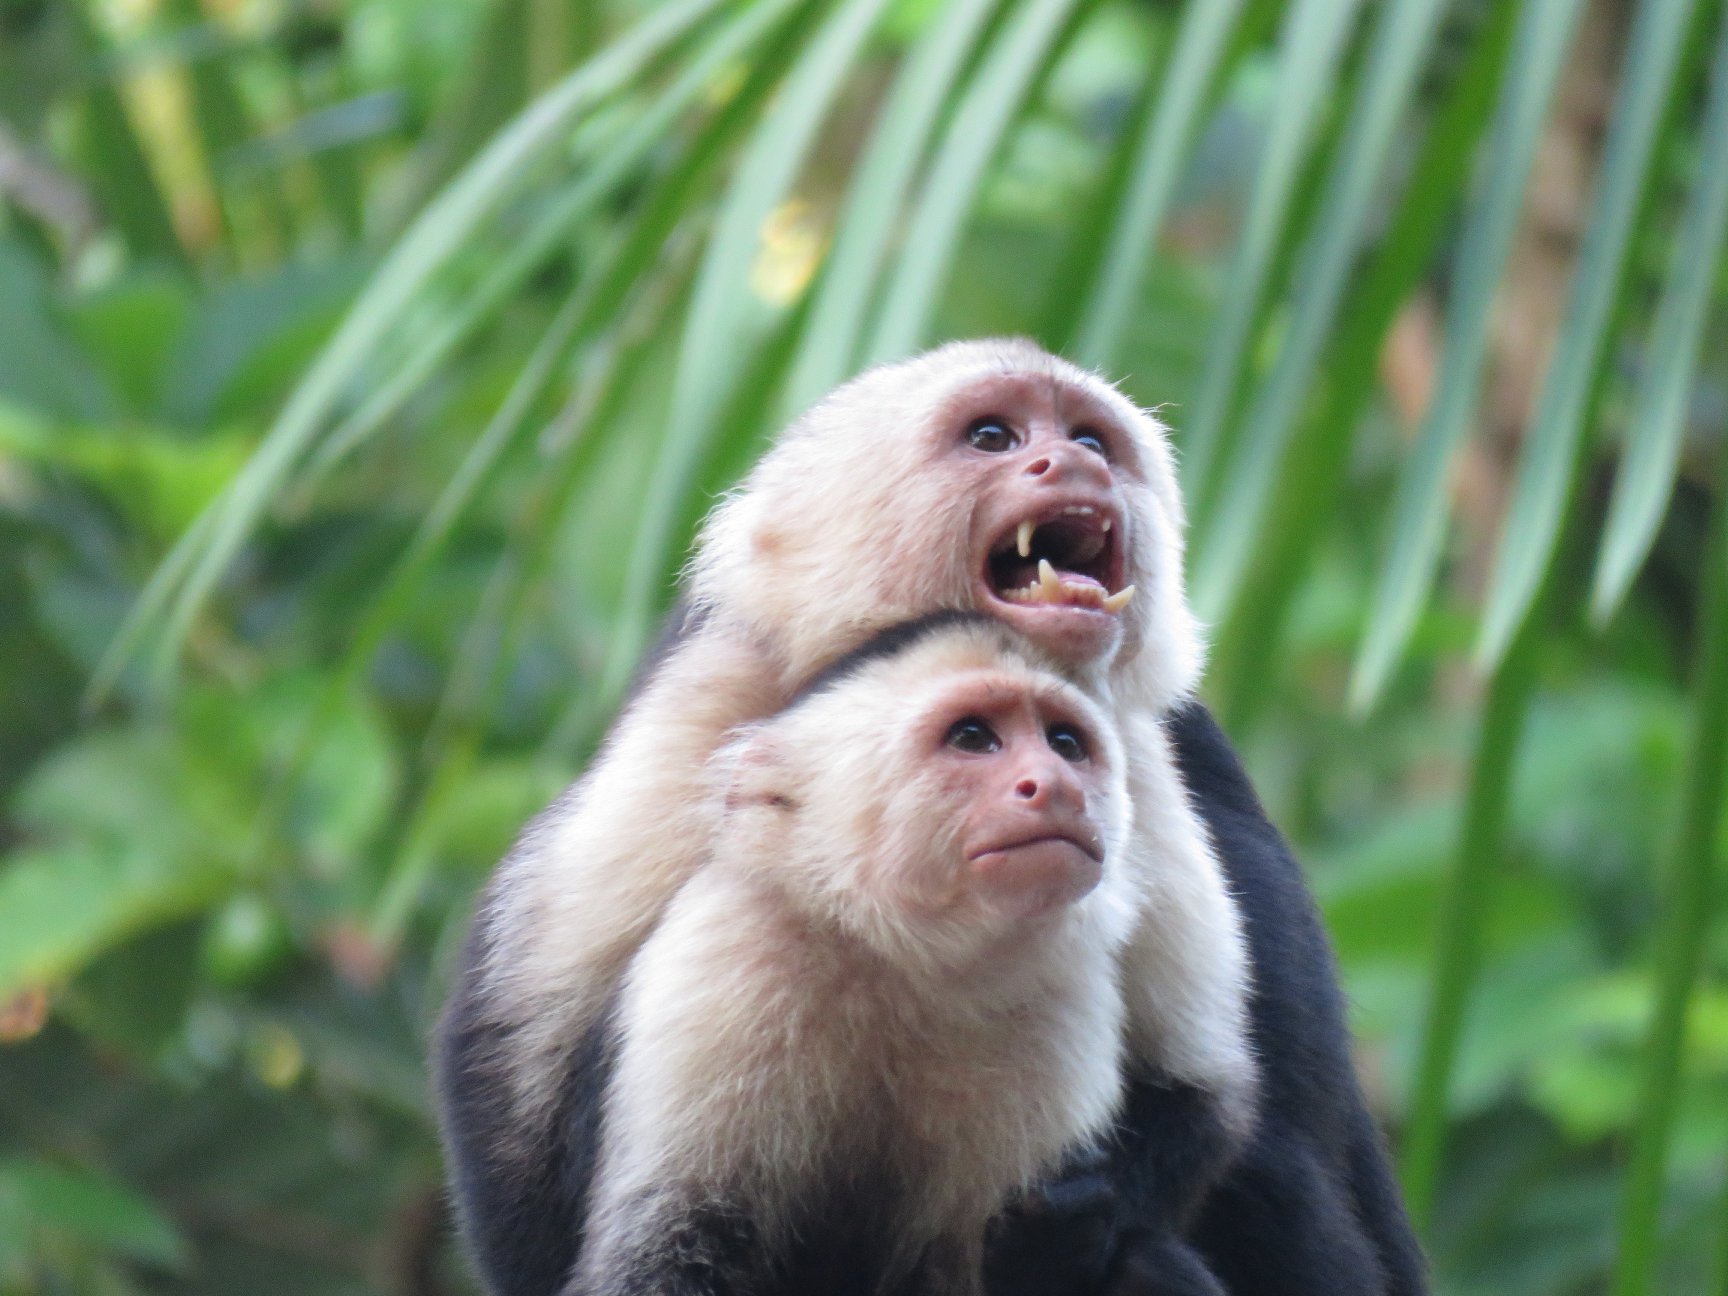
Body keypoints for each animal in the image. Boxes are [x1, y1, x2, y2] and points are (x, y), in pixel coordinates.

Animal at [573, 615, 1149, 1296]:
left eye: (1065, 743)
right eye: (973, 737)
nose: (1058, 787)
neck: (907, 962)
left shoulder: (1060, 1009)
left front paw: (1051, 1248)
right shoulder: (732, 953)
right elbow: (665, 1247)